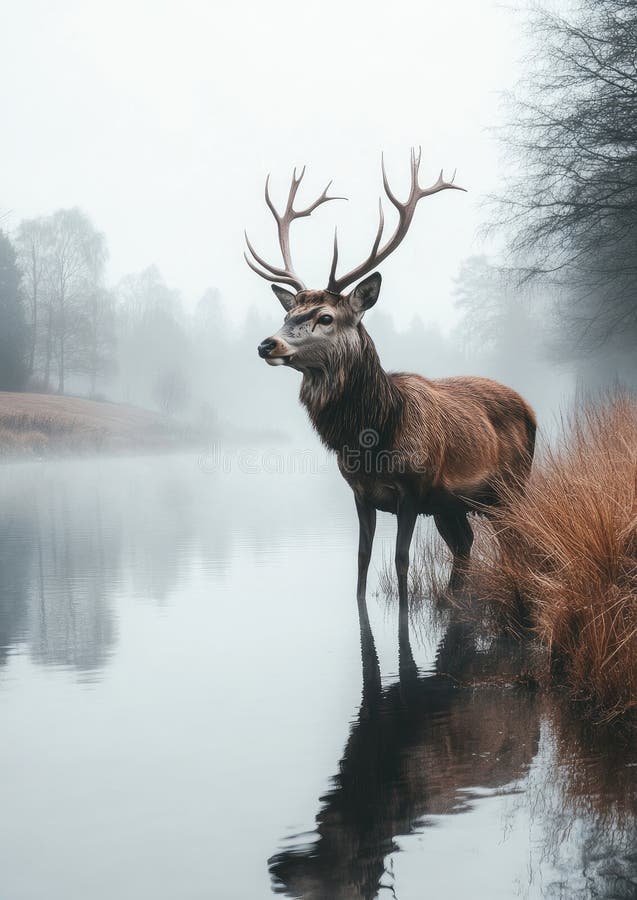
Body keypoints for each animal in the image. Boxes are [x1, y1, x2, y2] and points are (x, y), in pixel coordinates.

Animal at [246, 149, 536, 646]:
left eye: (325, 317)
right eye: (288, 313)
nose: (268, 344)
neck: (373, 435)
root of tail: (532, 409)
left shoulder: (412, 490)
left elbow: (400, 563)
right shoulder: (361, 493)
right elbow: (362, 562)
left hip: (512, 484)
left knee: (514, 541)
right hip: (454, 505)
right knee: (465, 546)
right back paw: (451, 601)